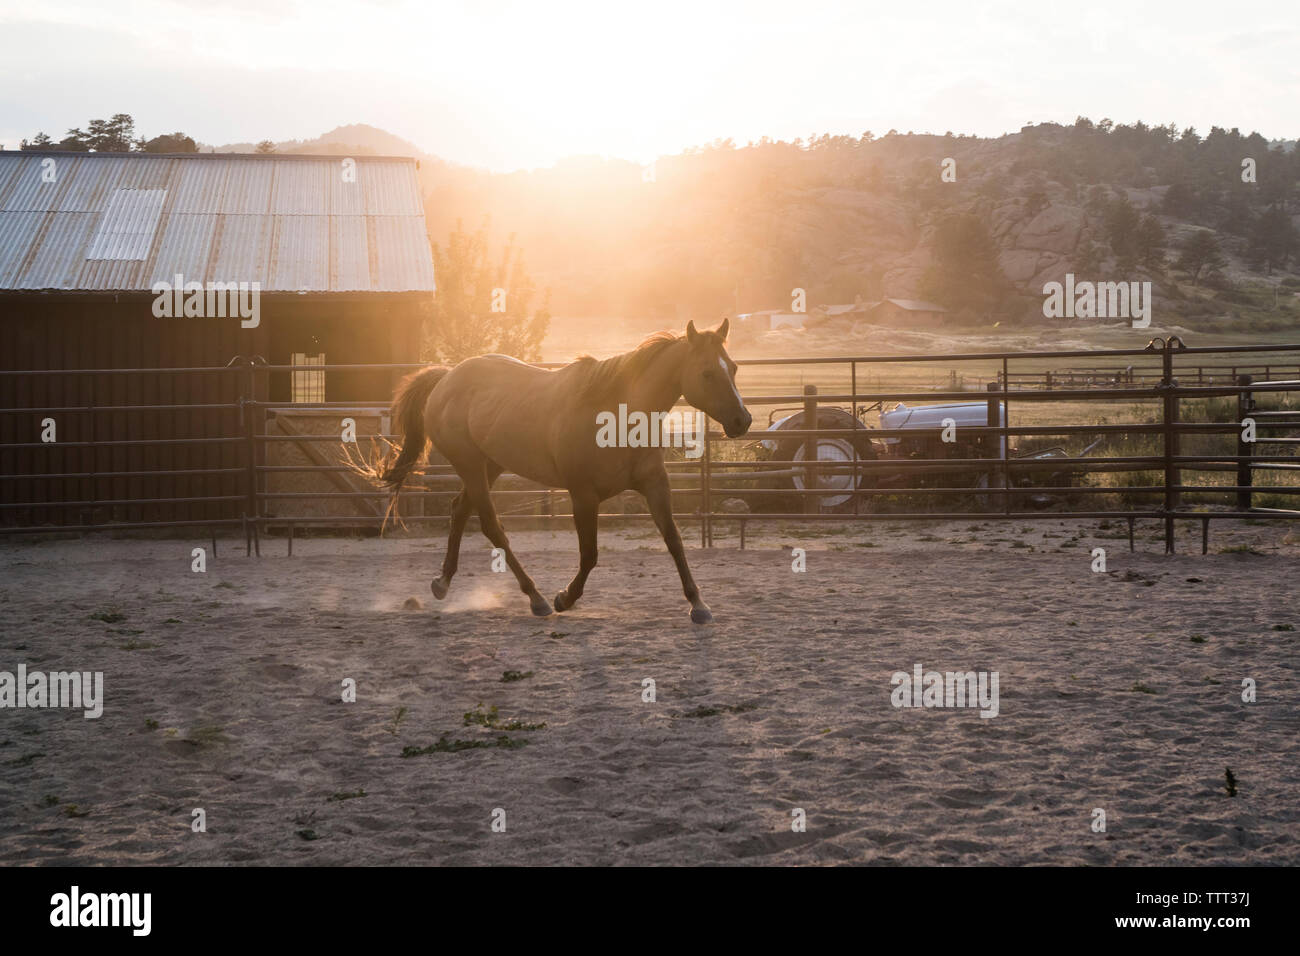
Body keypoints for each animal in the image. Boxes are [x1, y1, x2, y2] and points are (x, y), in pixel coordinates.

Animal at [375, 319, 752, 623]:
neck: (616, 415)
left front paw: (698, 605)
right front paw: (564, 598)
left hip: (490, 465)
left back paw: (442, 583)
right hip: (470, 465)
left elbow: (674, 541)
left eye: (733, 368)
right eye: (706, 373)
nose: (742, 420)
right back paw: (537, 598)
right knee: (491, 526)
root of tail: (446, 378)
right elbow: (590, 555)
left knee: (459, 511)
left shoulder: (655, 485)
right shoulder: (583, 495)